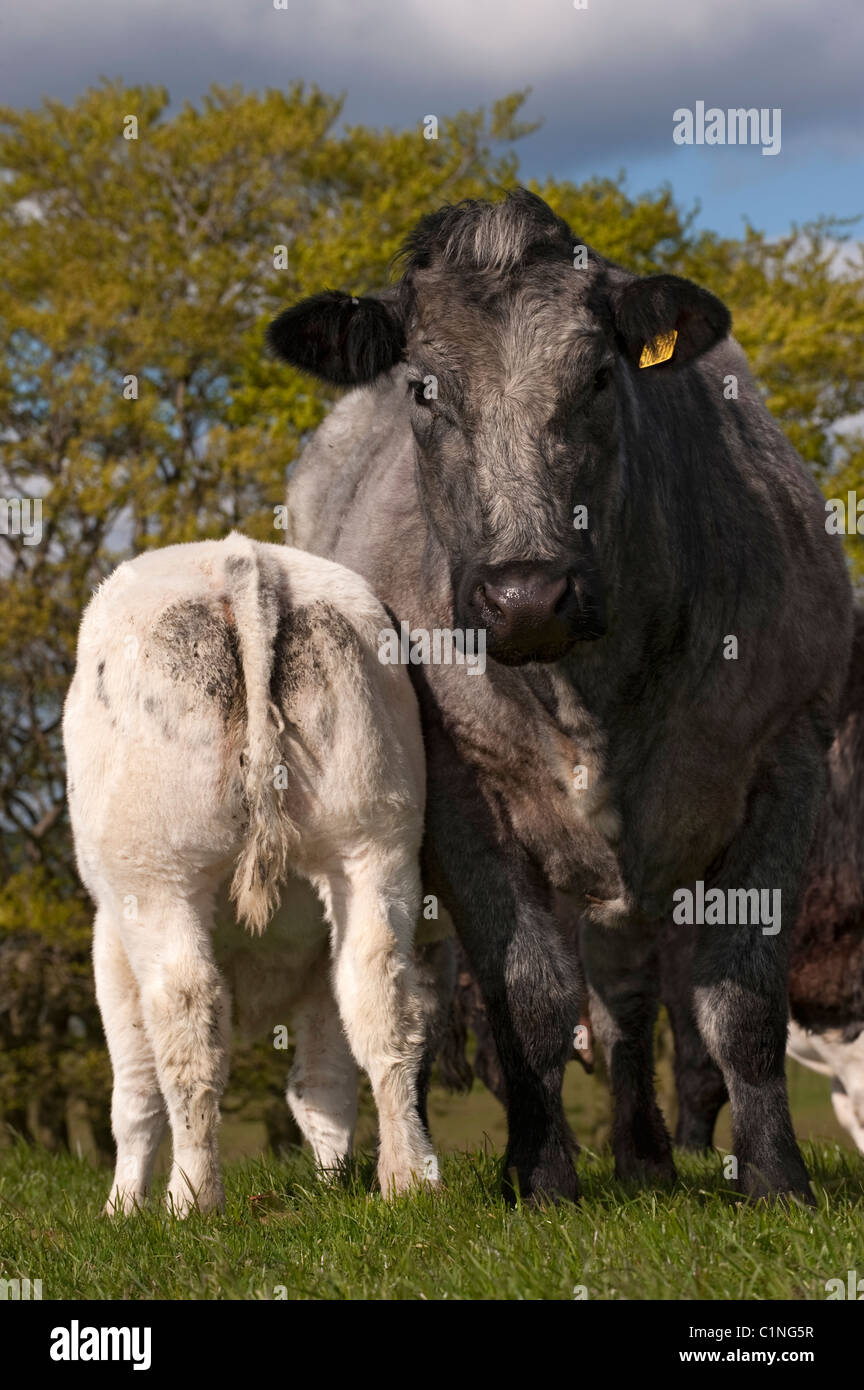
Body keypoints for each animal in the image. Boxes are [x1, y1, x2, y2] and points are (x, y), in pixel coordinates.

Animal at [63, 533, 438, 1214]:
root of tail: (243, 560)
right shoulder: (315, 962)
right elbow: (321, 1086)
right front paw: (332, 1184)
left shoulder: (109, 939)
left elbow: (133, 1092)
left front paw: (121, 1207)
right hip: (373, 841)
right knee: (381, 997)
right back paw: (408, 1179)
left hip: (157, 871)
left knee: (188, 1019)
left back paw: (191, 1199)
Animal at [270, 188, 852, 1204]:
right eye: (422, 389)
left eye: (599, 378)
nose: (526, 592)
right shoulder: (460, 794)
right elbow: (529, 993)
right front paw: (538, 1174)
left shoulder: (788, 758)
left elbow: (740, 1004)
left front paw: (775, 1176)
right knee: (432, 996)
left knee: (623, 1000)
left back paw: (646, 1156)